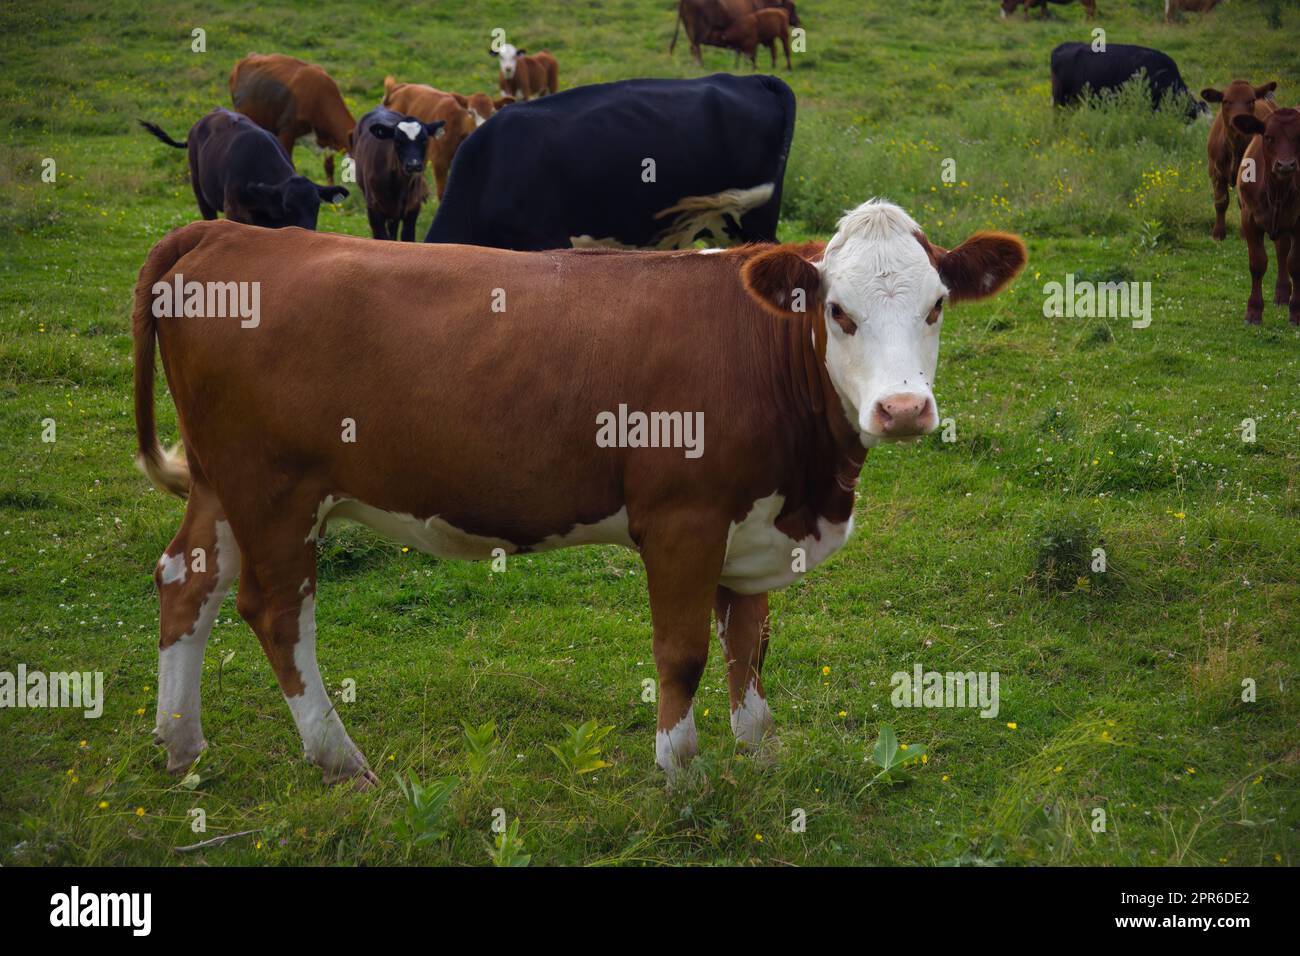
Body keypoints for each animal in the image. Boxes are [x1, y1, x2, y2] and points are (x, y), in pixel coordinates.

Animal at [131, 201, 1027, 785]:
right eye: (837, 312)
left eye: (937, 306)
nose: (903, 409)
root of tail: (226, 230)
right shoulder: (682, 519)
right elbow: (684, 651)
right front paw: (682, 776)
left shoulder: (756, 524)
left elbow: (751, 643)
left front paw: (762, 751)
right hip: (276, 488)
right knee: (277, 613)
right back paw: (338, 759)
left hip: (221, 483)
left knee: (185, 581)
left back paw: (181, 745)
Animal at [671, 0, 801, 67]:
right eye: (792, 6)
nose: (797, 21)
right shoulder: (752, 39)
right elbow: (750, 53)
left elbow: (740, 52)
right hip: (697, 34)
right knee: (696, 49)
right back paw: (700, 66)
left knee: (693, 49)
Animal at [1202, 80, 1278, 240]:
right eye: (1226, 101)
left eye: (1251, 101)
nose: (1238, 120)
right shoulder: (1215, 171)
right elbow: (1221, 201)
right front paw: (1218, 233)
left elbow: (1243, 203)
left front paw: (1244, 233)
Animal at [1232, 108, 1300, 325]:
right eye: (1269, 137)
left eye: (1299, 136)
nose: (1286, 165)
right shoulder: (1249, 218)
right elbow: (1257, 263)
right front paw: (1253, 311)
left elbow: (1295, 264)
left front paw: (1296, 313)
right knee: (1281, 250)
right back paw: (1281, 294)